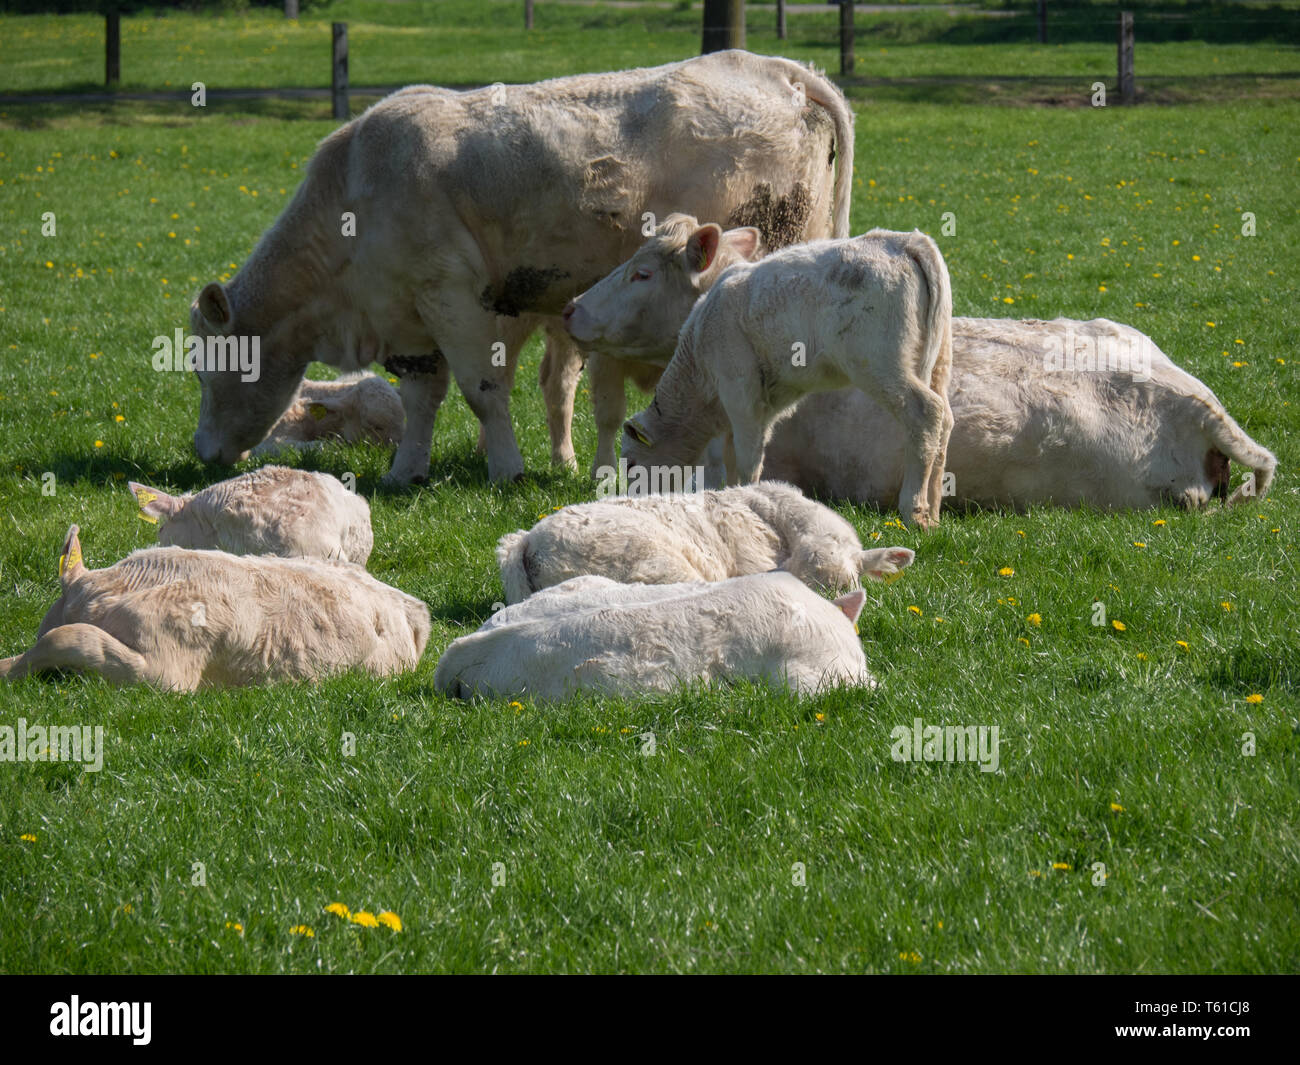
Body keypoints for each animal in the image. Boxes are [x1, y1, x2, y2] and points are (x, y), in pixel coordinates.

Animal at [188, 52, 854, 485]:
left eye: (207, 367)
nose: (200, 450)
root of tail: (780, 69)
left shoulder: (452, 295)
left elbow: (483, 390)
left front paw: (506, 469)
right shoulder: (408, 313)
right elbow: (422, 396)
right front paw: (407, 471)